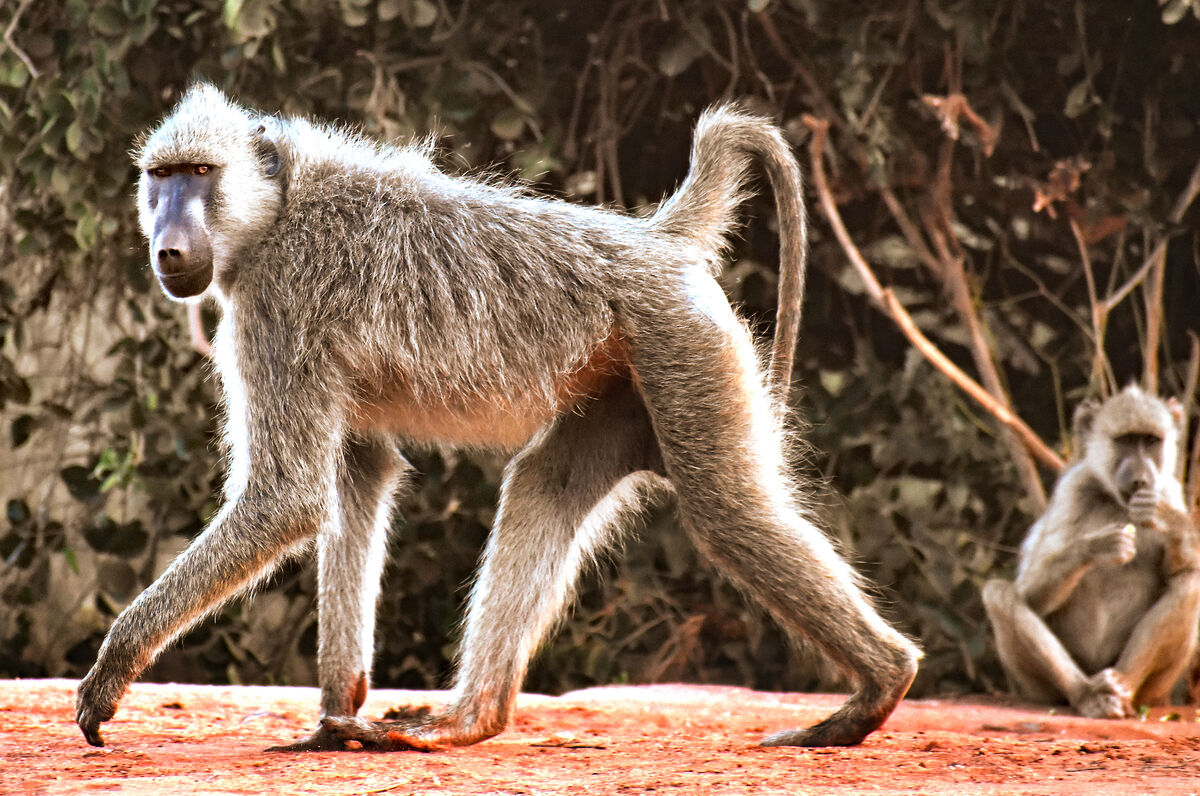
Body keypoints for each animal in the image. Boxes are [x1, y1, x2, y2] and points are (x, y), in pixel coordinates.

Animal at [75, 83, 920, 751]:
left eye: (199, 175)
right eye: (160, 178)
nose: (168, 245)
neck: (276, 210)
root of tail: (653, 239)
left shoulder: (280, 306)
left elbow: (287, 500)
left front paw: (114, 664)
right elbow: (360, 477)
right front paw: (334, 717)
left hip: (684, 340)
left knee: (728, 513)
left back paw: (876, 689)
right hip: (625, 381)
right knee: (546, 483)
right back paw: (471, 719)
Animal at [983, 385, 1200, 718]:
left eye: (1150, 441)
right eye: (1125, 441)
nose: (1139, 479)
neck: (1115, 502)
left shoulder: (1168, 490)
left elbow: (1181, 567)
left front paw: (1167, 520)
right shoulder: (1073, 489)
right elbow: (1032, 594)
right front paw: (1099, 546)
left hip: (1154, 689)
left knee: (1189, 583)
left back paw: (1123, 684)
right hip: (1039, 688)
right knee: (999, 594)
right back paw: (1087, 694)